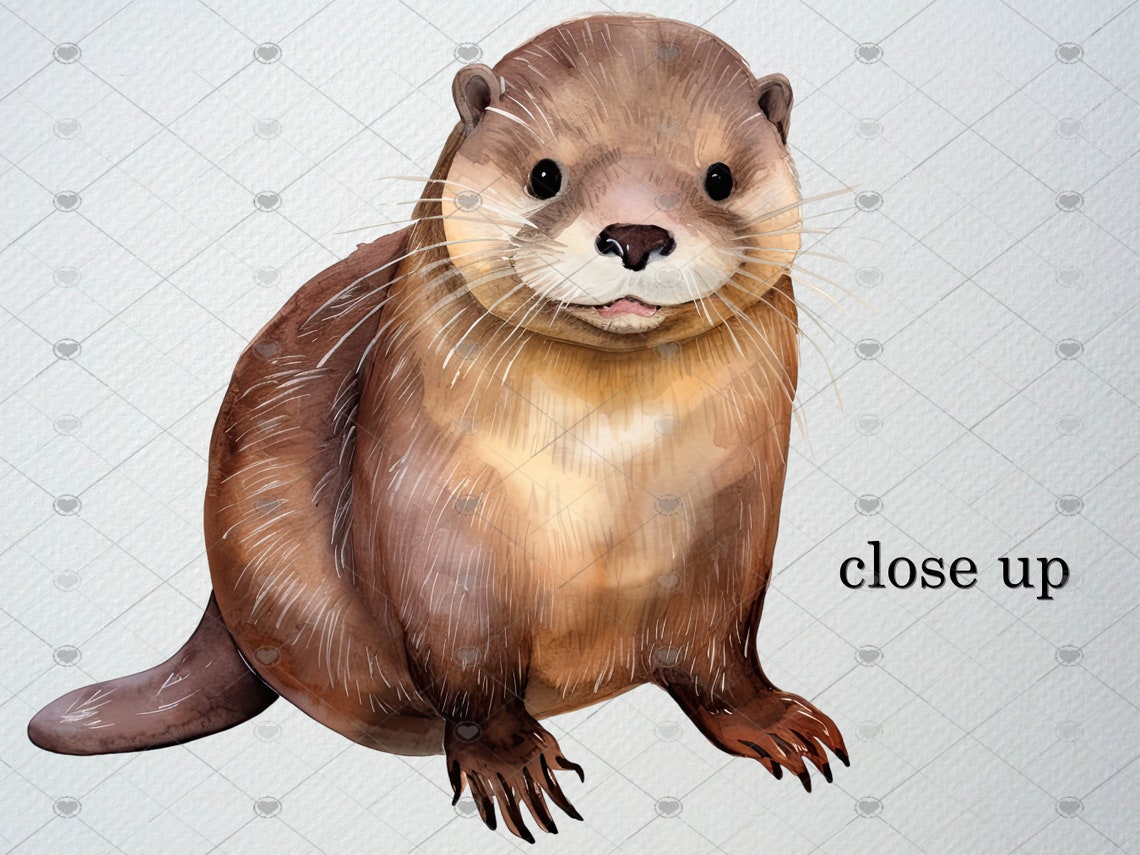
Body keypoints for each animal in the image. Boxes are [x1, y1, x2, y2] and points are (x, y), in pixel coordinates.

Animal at [29, 14, 847, 842]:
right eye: (544, 175)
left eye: (719, 178)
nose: (636, 234)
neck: (607, 472)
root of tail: (221, 609)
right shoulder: (435, 523)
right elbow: (466, 661)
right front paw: (509, 762)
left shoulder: (733, 522)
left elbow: (721, 649)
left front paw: (773, 720)